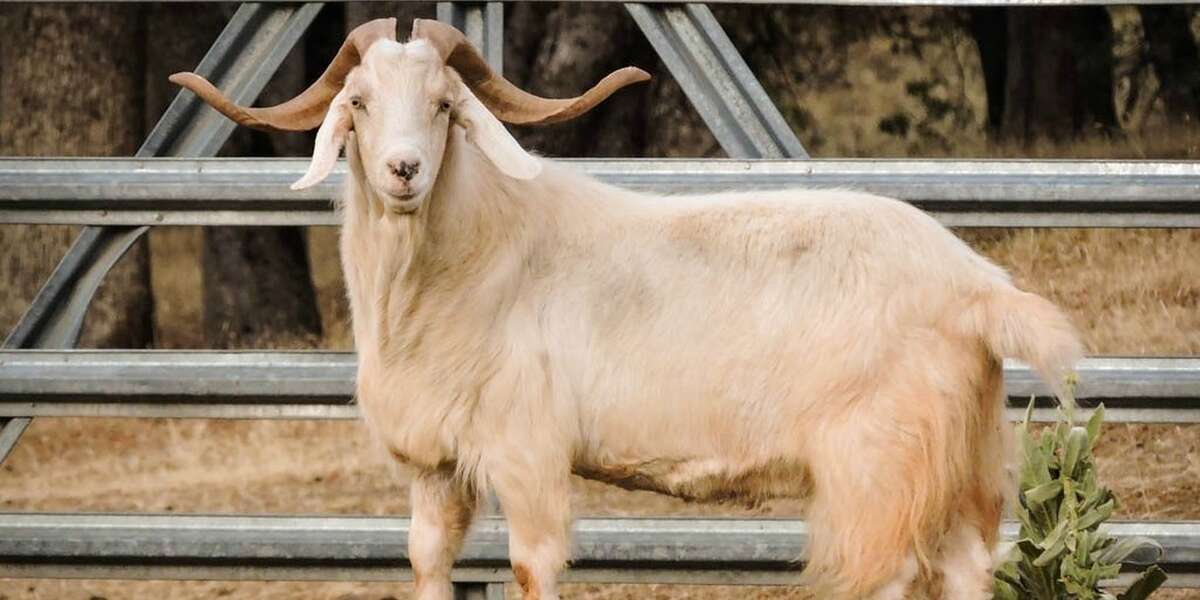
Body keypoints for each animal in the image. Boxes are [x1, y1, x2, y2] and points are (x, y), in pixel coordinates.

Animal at [172, 17, 1082, 600]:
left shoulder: (528, 454)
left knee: (889, 573)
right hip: (962, 461)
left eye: (444, 105)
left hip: (879, 464)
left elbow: (534, 567)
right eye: (358, 103)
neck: (473, 259)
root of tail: (975, 285)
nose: (403, 171)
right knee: (968, 568)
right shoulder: (435, 468)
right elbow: (427, 565)